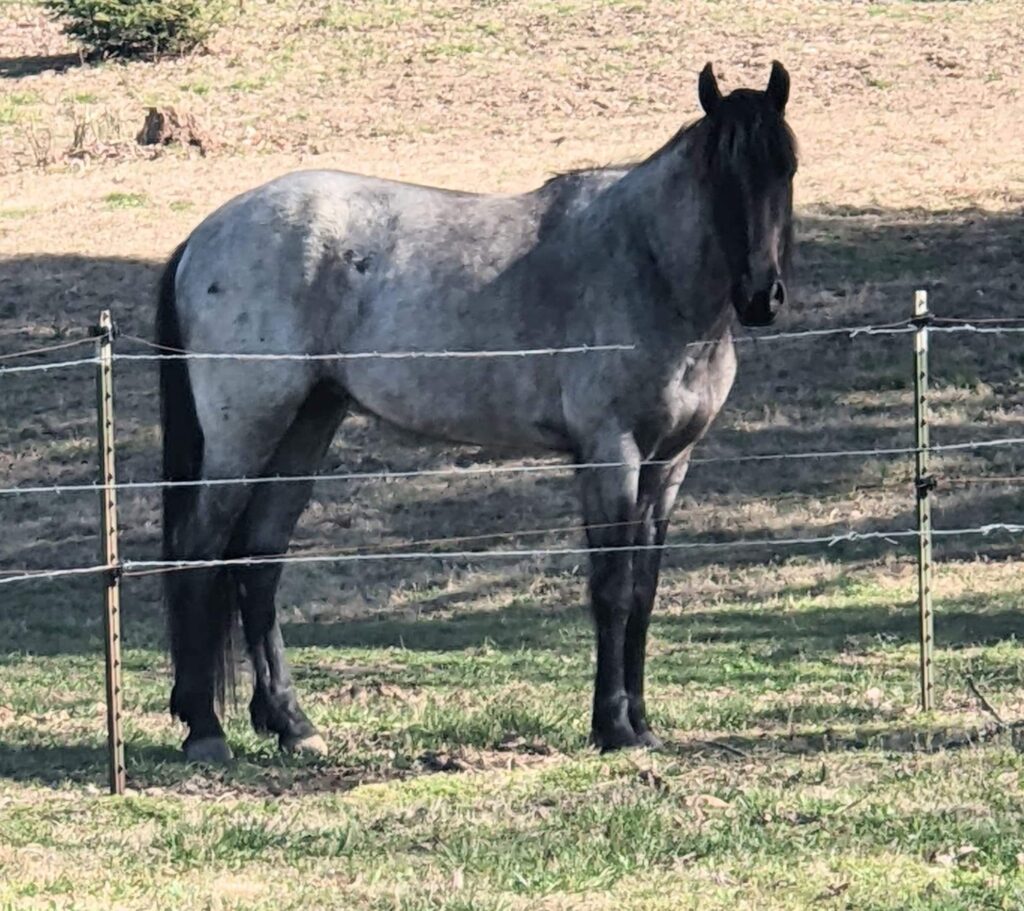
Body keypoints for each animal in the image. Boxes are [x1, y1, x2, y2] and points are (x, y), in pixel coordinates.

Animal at [156, 61, 797, 762]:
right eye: (721, 175)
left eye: (785, 168)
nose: (762, 297)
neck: (647, 268)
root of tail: (203, 236)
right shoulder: (612, 457)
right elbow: (611, 588)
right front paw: (613, 727)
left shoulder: (669, 465)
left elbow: (644, 591)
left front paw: (642, 724)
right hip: (245, 435)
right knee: (198, 552)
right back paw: (204, 728)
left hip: (307, 426)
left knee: (259, 561)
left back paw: (291, 723)